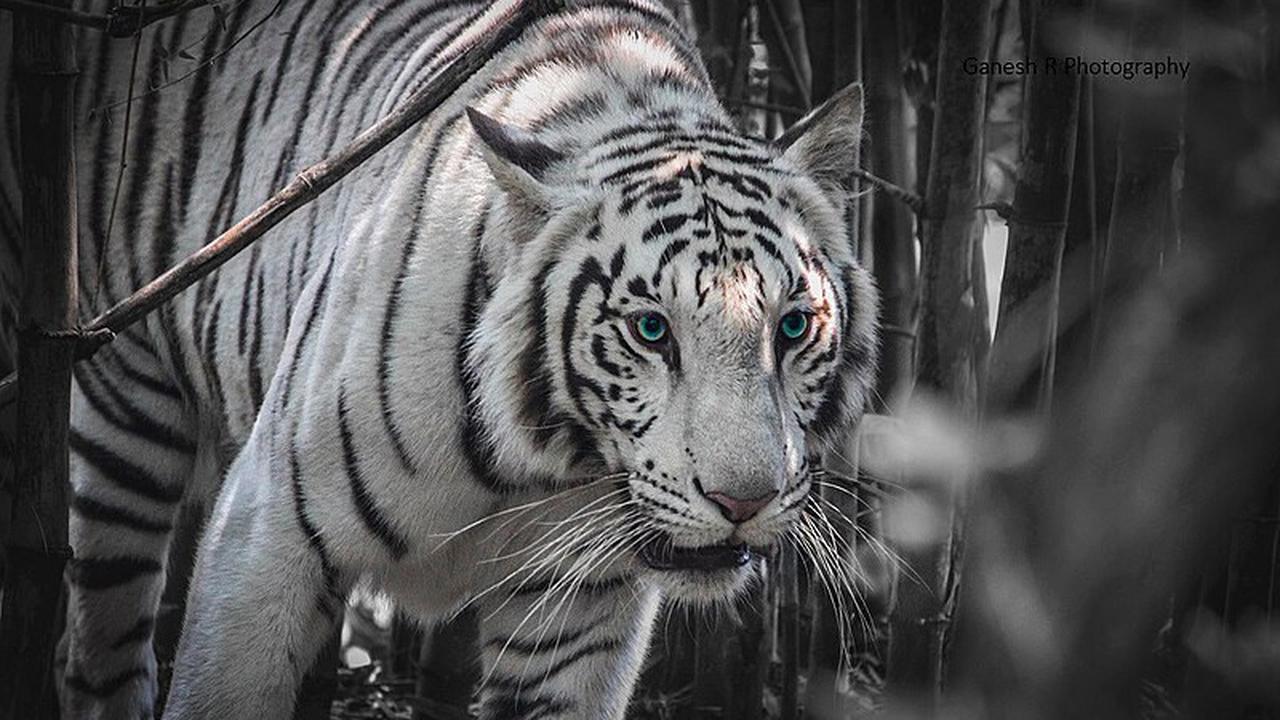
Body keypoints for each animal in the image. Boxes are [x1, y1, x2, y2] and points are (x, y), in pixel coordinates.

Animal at [0, 0, 879, 718]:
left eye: (792, 327)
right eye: (652, 330)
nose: (743, 501)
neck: (534, 463)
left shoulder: (578, 617)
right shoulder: (266, 532)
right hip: (118, 404)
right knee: (95, 650)